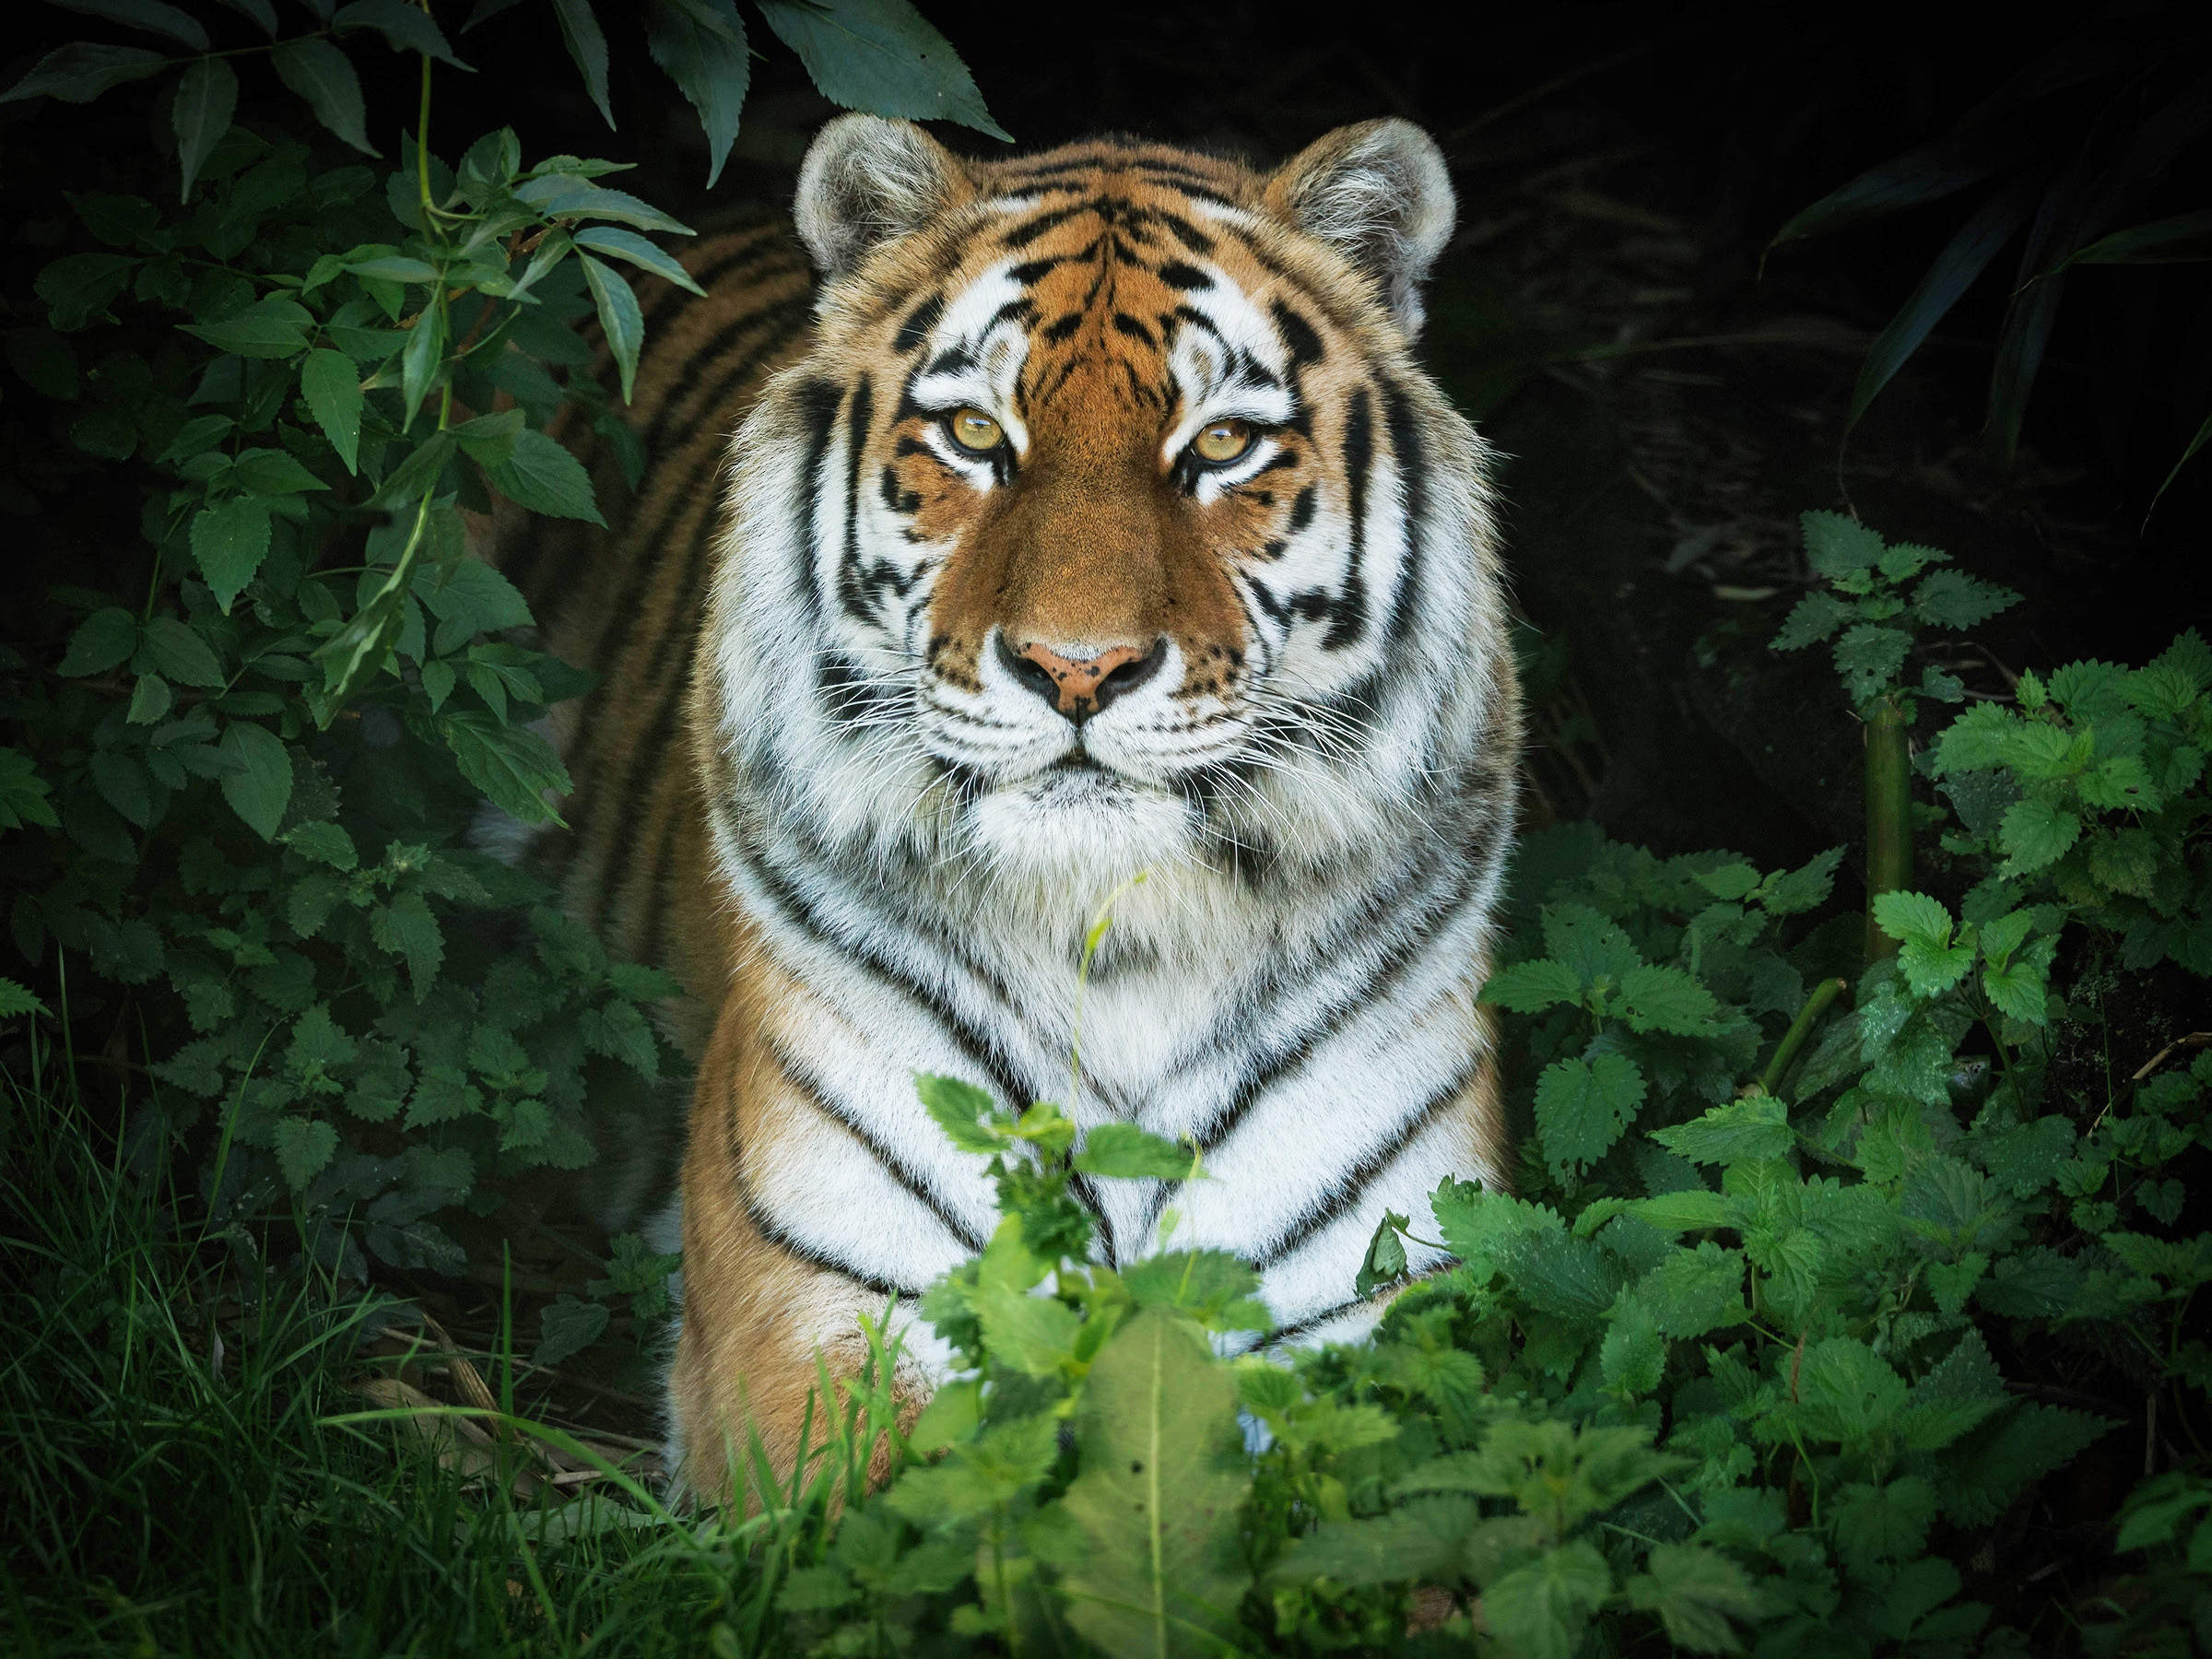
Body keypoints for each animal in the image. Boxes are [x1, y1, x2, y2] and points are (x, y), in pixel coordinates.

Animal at [499, 114, 1522, 1503]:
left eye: (1219, 446)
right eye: (978, 436)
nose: (1076, 668)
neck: (1124, 949)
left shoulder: (1386, 1312)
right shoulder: (821, 1322)